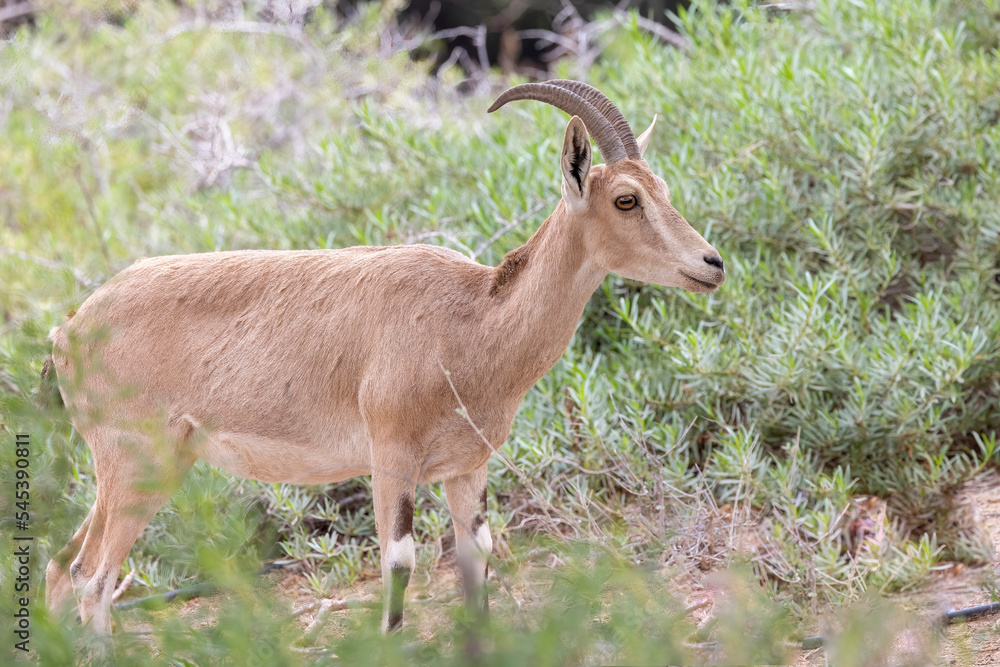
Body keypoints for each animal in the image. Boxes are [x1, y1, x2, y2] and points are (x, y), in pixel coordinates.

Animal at [44, 80, 725, 636]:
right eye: (627, 199)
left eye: (662, 189)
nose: (711, 264)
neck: (468, 324)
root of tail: (69, 329)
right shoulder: (391, 458)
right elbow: (400, 567)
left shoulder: (466, 468)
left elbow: (477, 563)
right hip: (133, 462)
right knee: (92, 578)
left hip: (148, 467)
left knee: (61, 567)